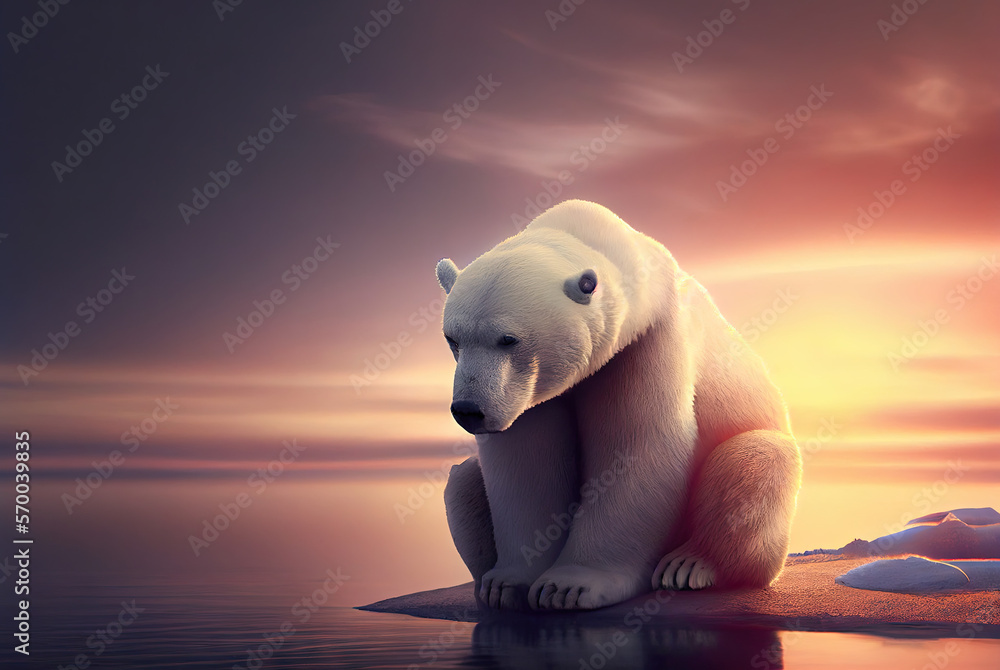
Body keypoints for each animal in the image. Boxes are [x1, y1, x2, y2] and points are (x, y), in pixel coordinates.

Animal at [436, 199, 801, 611]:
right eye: (452, 338)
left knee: (752, 457)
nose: (468, 409)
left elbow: (640, 447)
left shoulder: (647, 340)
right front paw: (507, 584)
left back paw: (690, 564)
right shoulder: (532, 393)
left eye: (508, 339)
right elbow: (524, 461)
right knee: (463, 479)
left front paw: (568, 586)